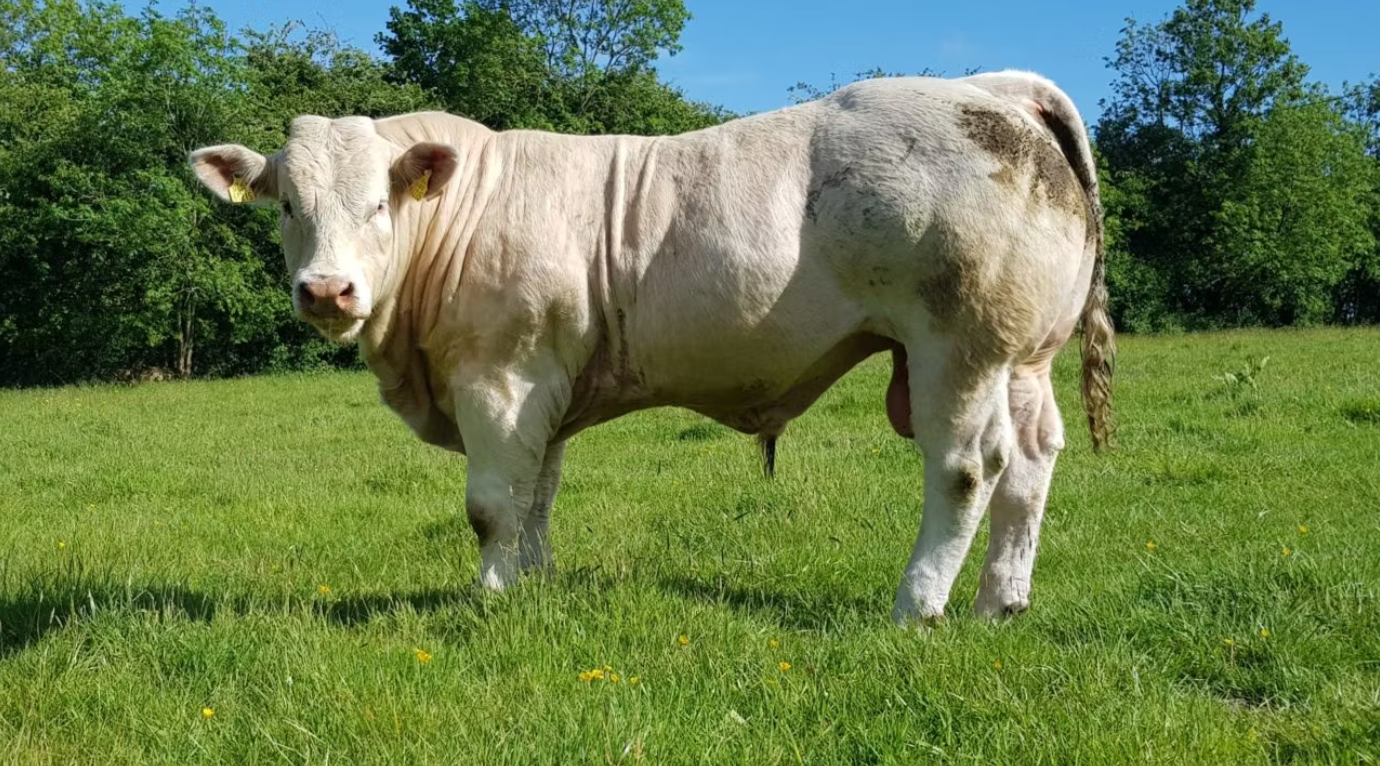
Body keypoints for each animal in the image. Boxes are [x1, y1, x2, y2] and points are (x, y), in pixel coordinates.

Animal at [189, 69, 1114, 626]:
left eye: (379, 204)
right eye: (287, 206)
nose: (326, 292)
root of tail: (988, 88)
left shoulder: (499, 378)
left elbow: (492, 504)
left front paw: (491, 596)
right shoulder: (543, 388)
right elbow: (538, 495)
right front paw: (534, 583)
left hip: (958, 347)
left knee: (967, 467)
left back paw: (917, 605)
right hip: (1024, 356)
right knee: (1032, 464)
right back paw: (1001, 603)